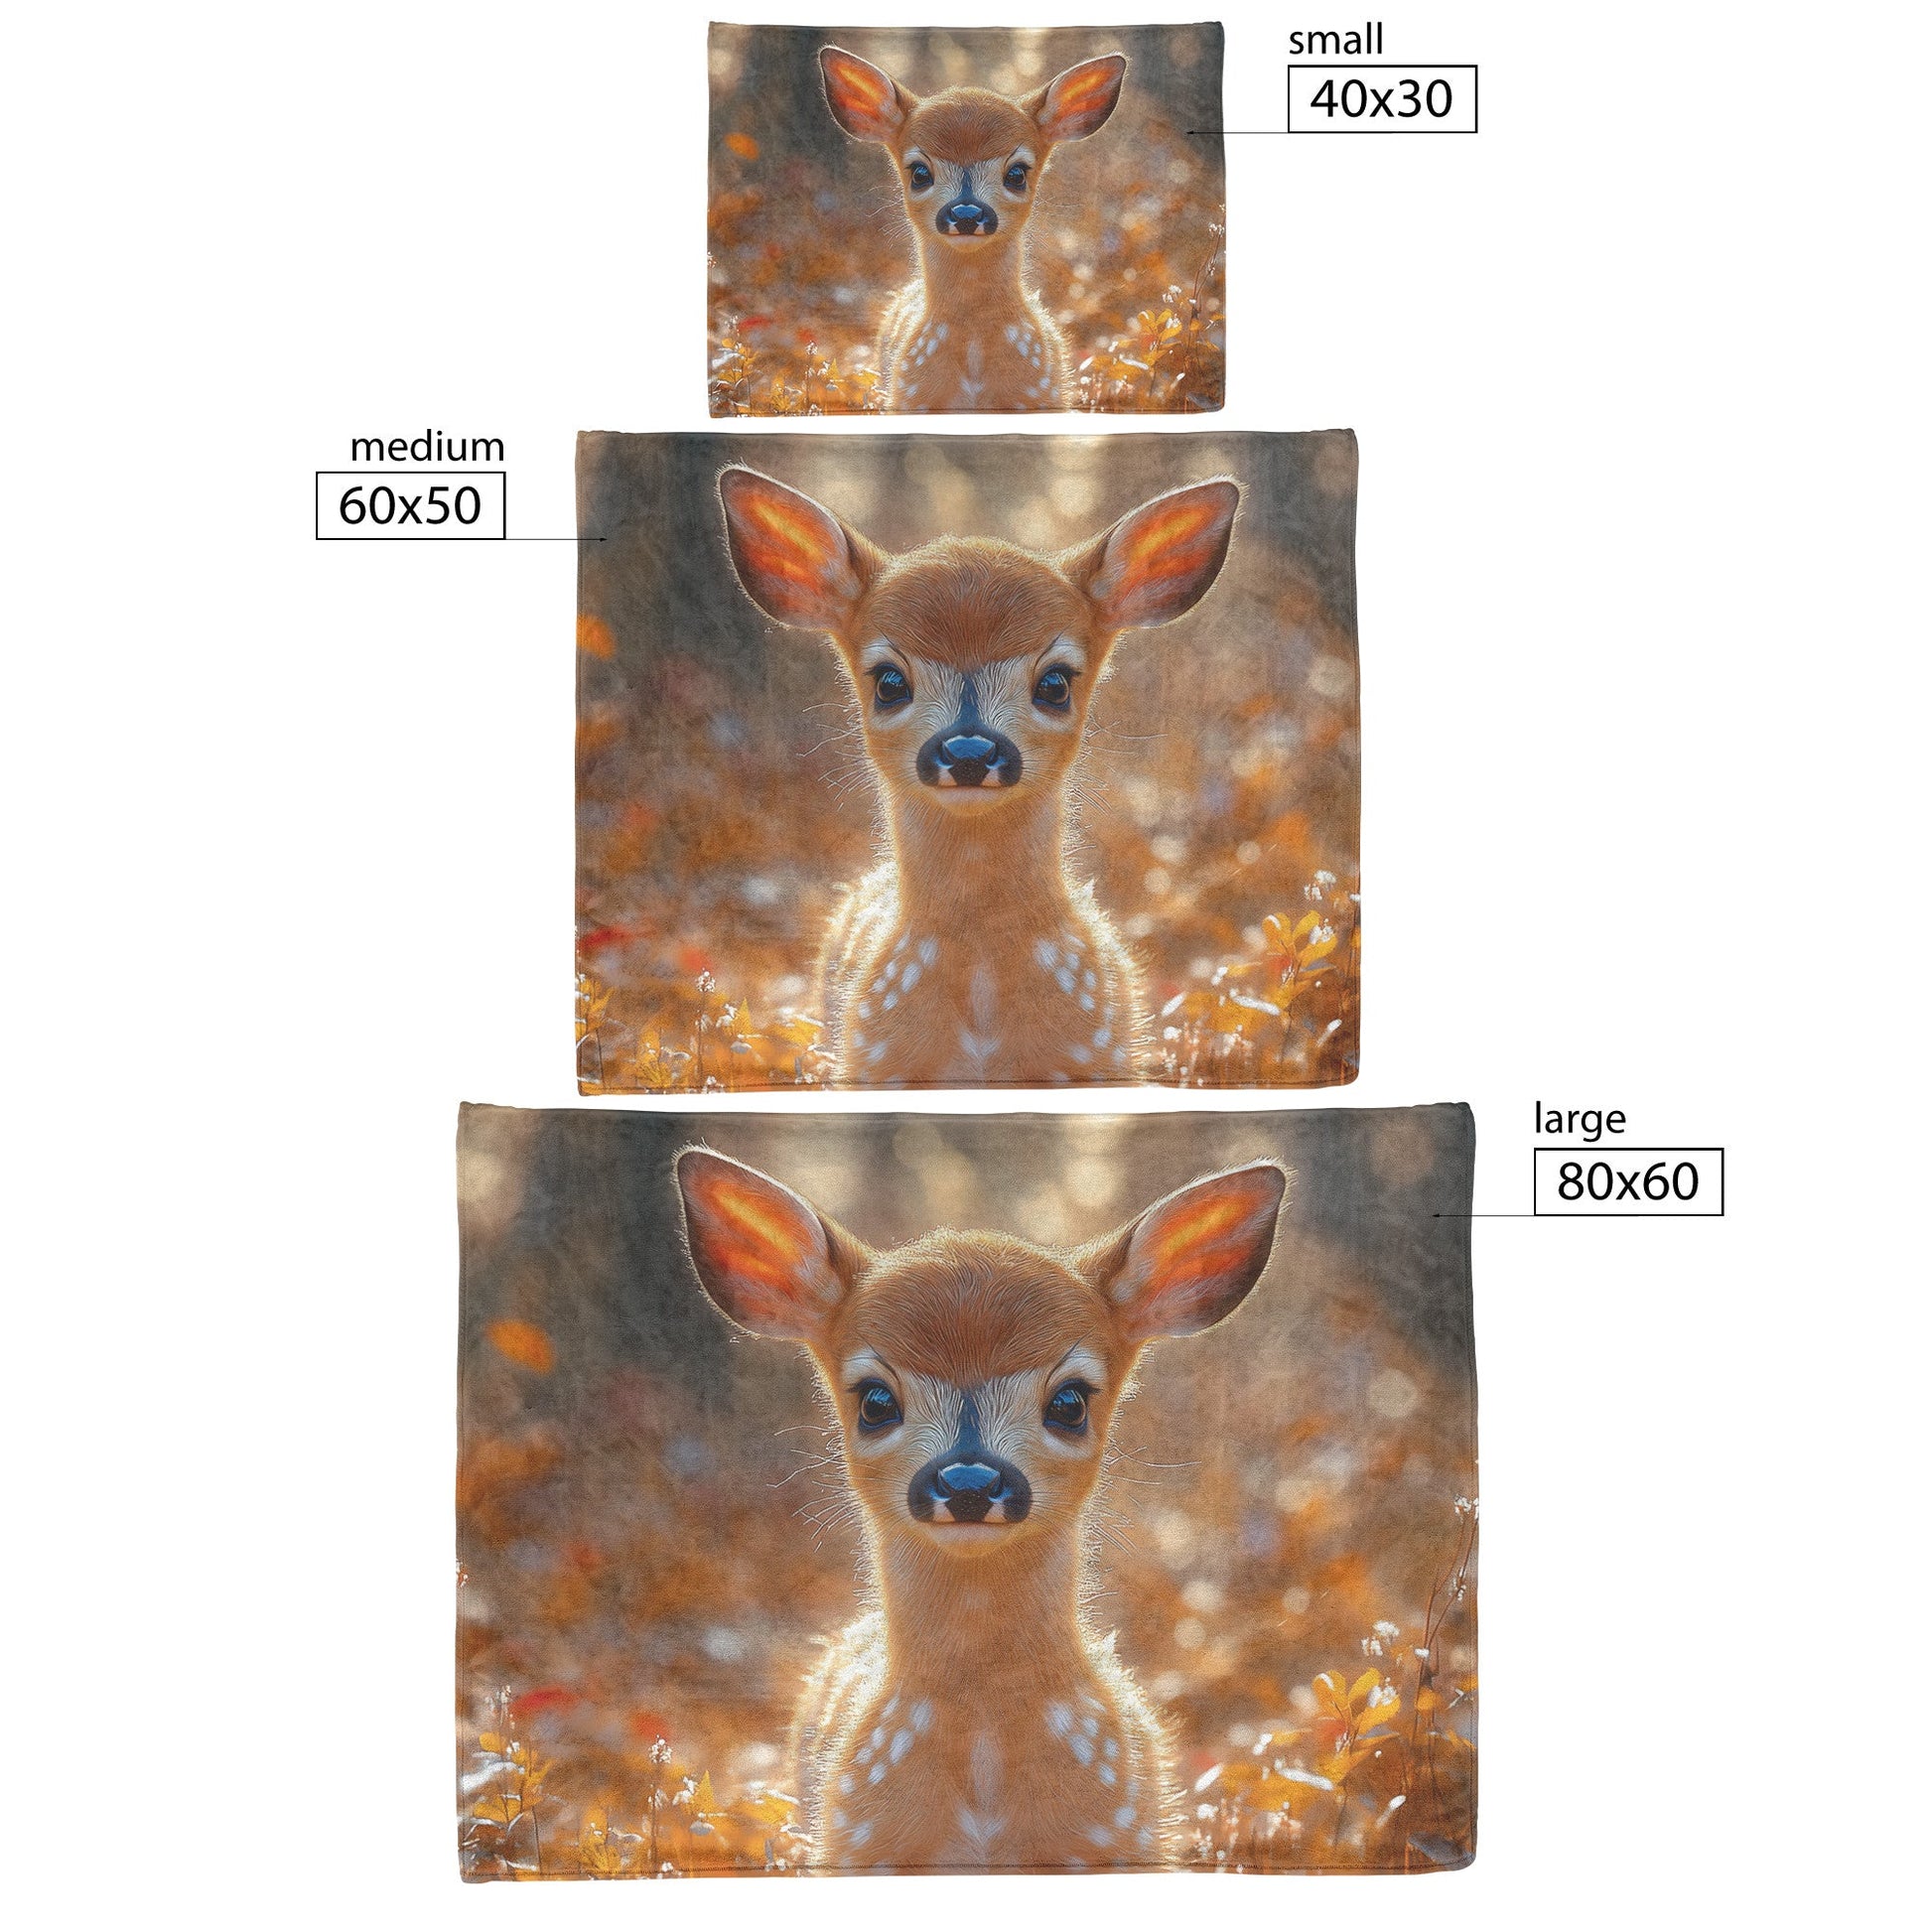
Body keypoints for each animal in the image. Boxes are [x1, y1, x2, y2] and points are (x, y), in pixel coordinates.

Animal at [673, 1145, 1288, 1872]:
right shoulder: (862, 1846)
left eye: (1070, 1401)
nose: (968, 1479)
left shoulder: (1116, 1840)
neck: (985, 1760)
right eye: (875, 1400)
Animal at [715, 464, 1239, 1088]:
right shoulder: (876, 1063)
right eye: (889, 681)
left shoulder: (1097, 1058)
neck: (982, 992)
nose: (968, 749)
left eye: (1055, 682)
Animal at [817, 44, 1128, 412]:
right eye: (919, 172)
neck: (974, 353)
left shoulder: (1040, 396)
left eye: (1017, 173)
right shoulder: (911, 399)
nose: (966, 213)